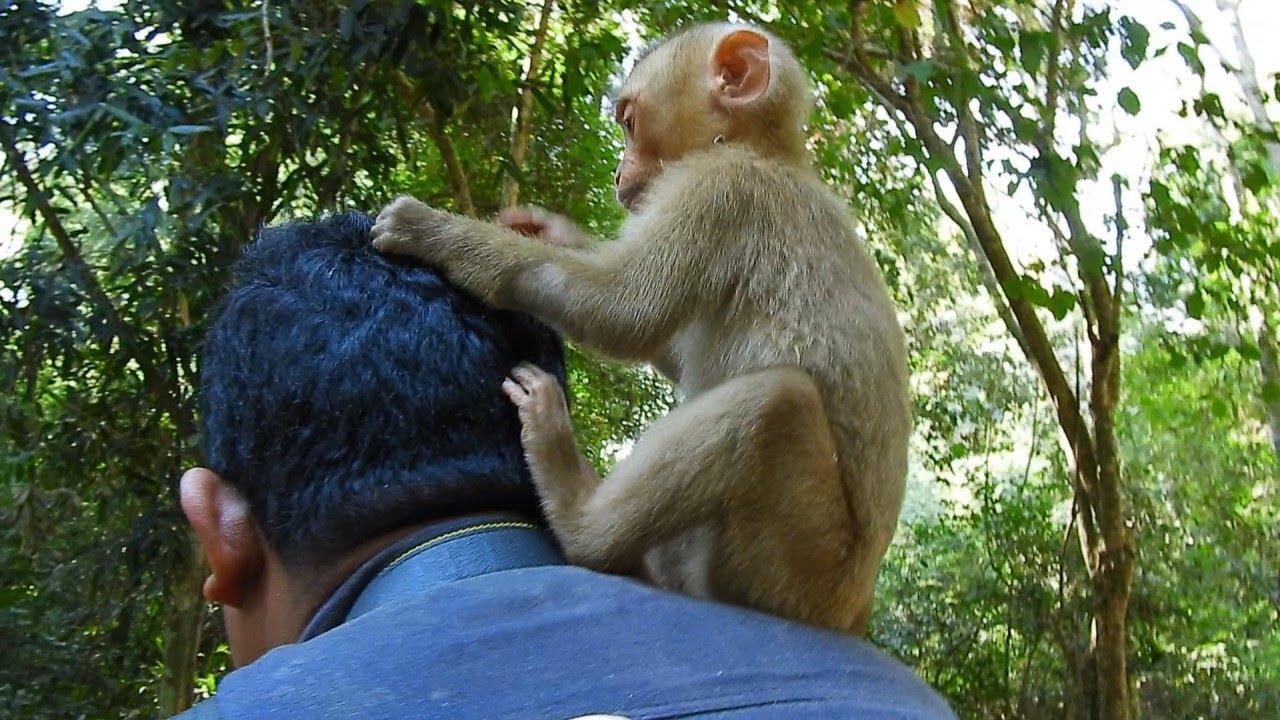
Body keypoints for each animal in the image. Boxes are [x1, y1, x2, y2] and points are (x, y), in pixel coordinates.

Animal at [371, 22, 910, 635]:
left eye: (629, 123)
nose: (618, 171)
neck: (765, 150)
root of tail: (851, 608)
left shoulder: (717, 190)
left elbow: (626, 312)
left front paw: (430, 231)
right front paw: (555, 232)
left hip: (797, 565)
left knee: (776, 404)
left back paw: (580, 517)